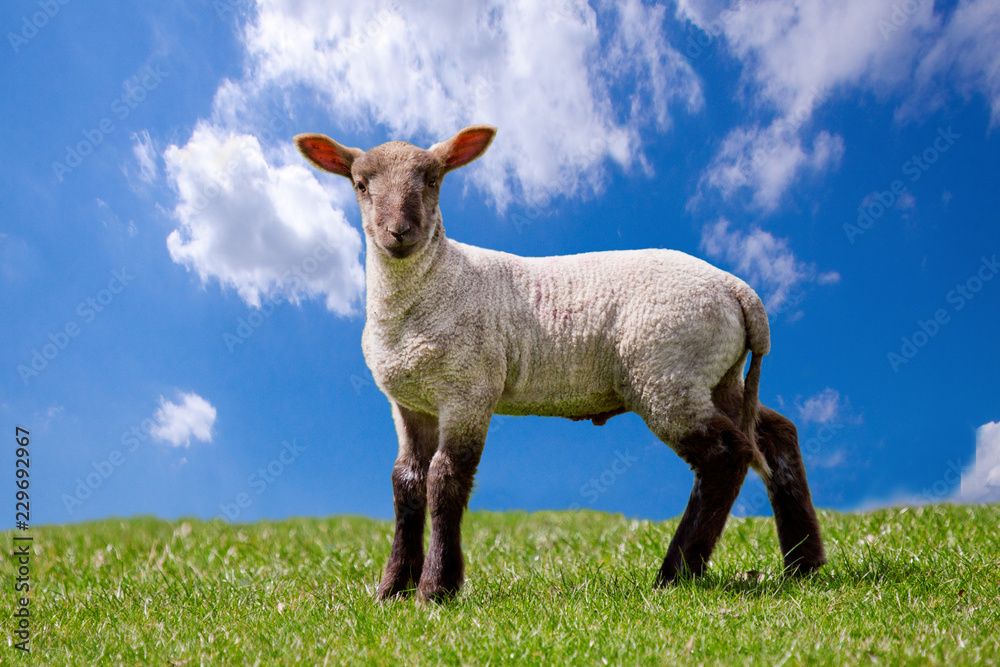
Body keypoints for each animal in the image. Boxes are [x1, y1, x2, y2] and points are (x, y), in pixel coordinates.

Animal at [295, 125, 826, 602]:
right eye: (360, 184)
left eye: (432, 180)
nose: (399, 233)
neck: (431, 287)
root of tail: (740, 291)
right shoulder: (409, 403)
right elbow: (405, 483)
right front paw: (392, 589)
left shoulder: (469, 389)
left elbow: (446, 480)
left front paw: (436, 589)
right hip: (718, 375)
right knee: (775, 435)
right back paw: (804, 563)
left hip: (666, 372)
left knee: (726, 456)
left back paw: (676, 574)